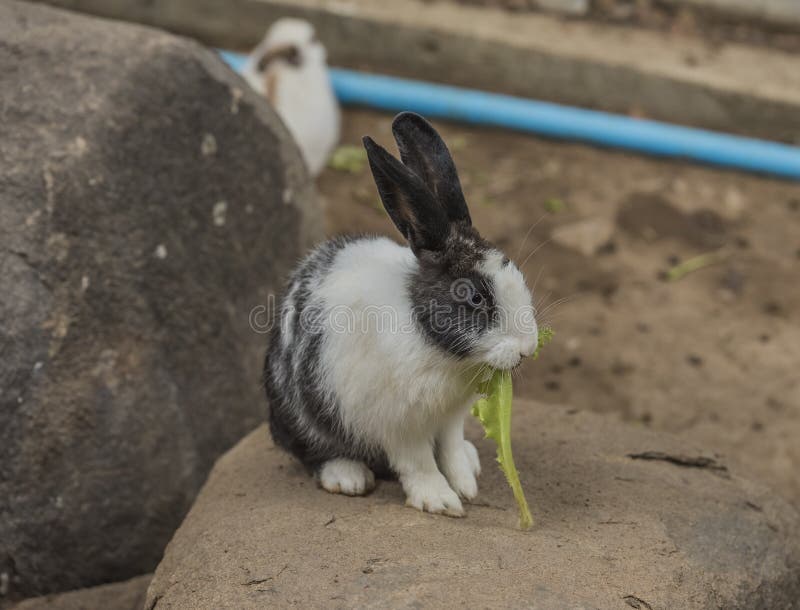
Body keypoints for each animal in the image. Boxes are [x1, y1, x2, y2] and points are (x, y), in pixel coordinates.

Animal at [264, 112, 539, 517]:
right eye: (472, 296)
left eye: (514, 270)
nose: (527, 348)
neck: (436, 346)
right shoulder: (398, 424)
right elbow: (419, 463)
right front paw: (442, 502)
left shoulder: (450, 418)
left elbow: (451, 449)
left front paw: (466, 484)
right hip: (299, 414)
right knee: (311, 452)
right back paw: (348, 477)